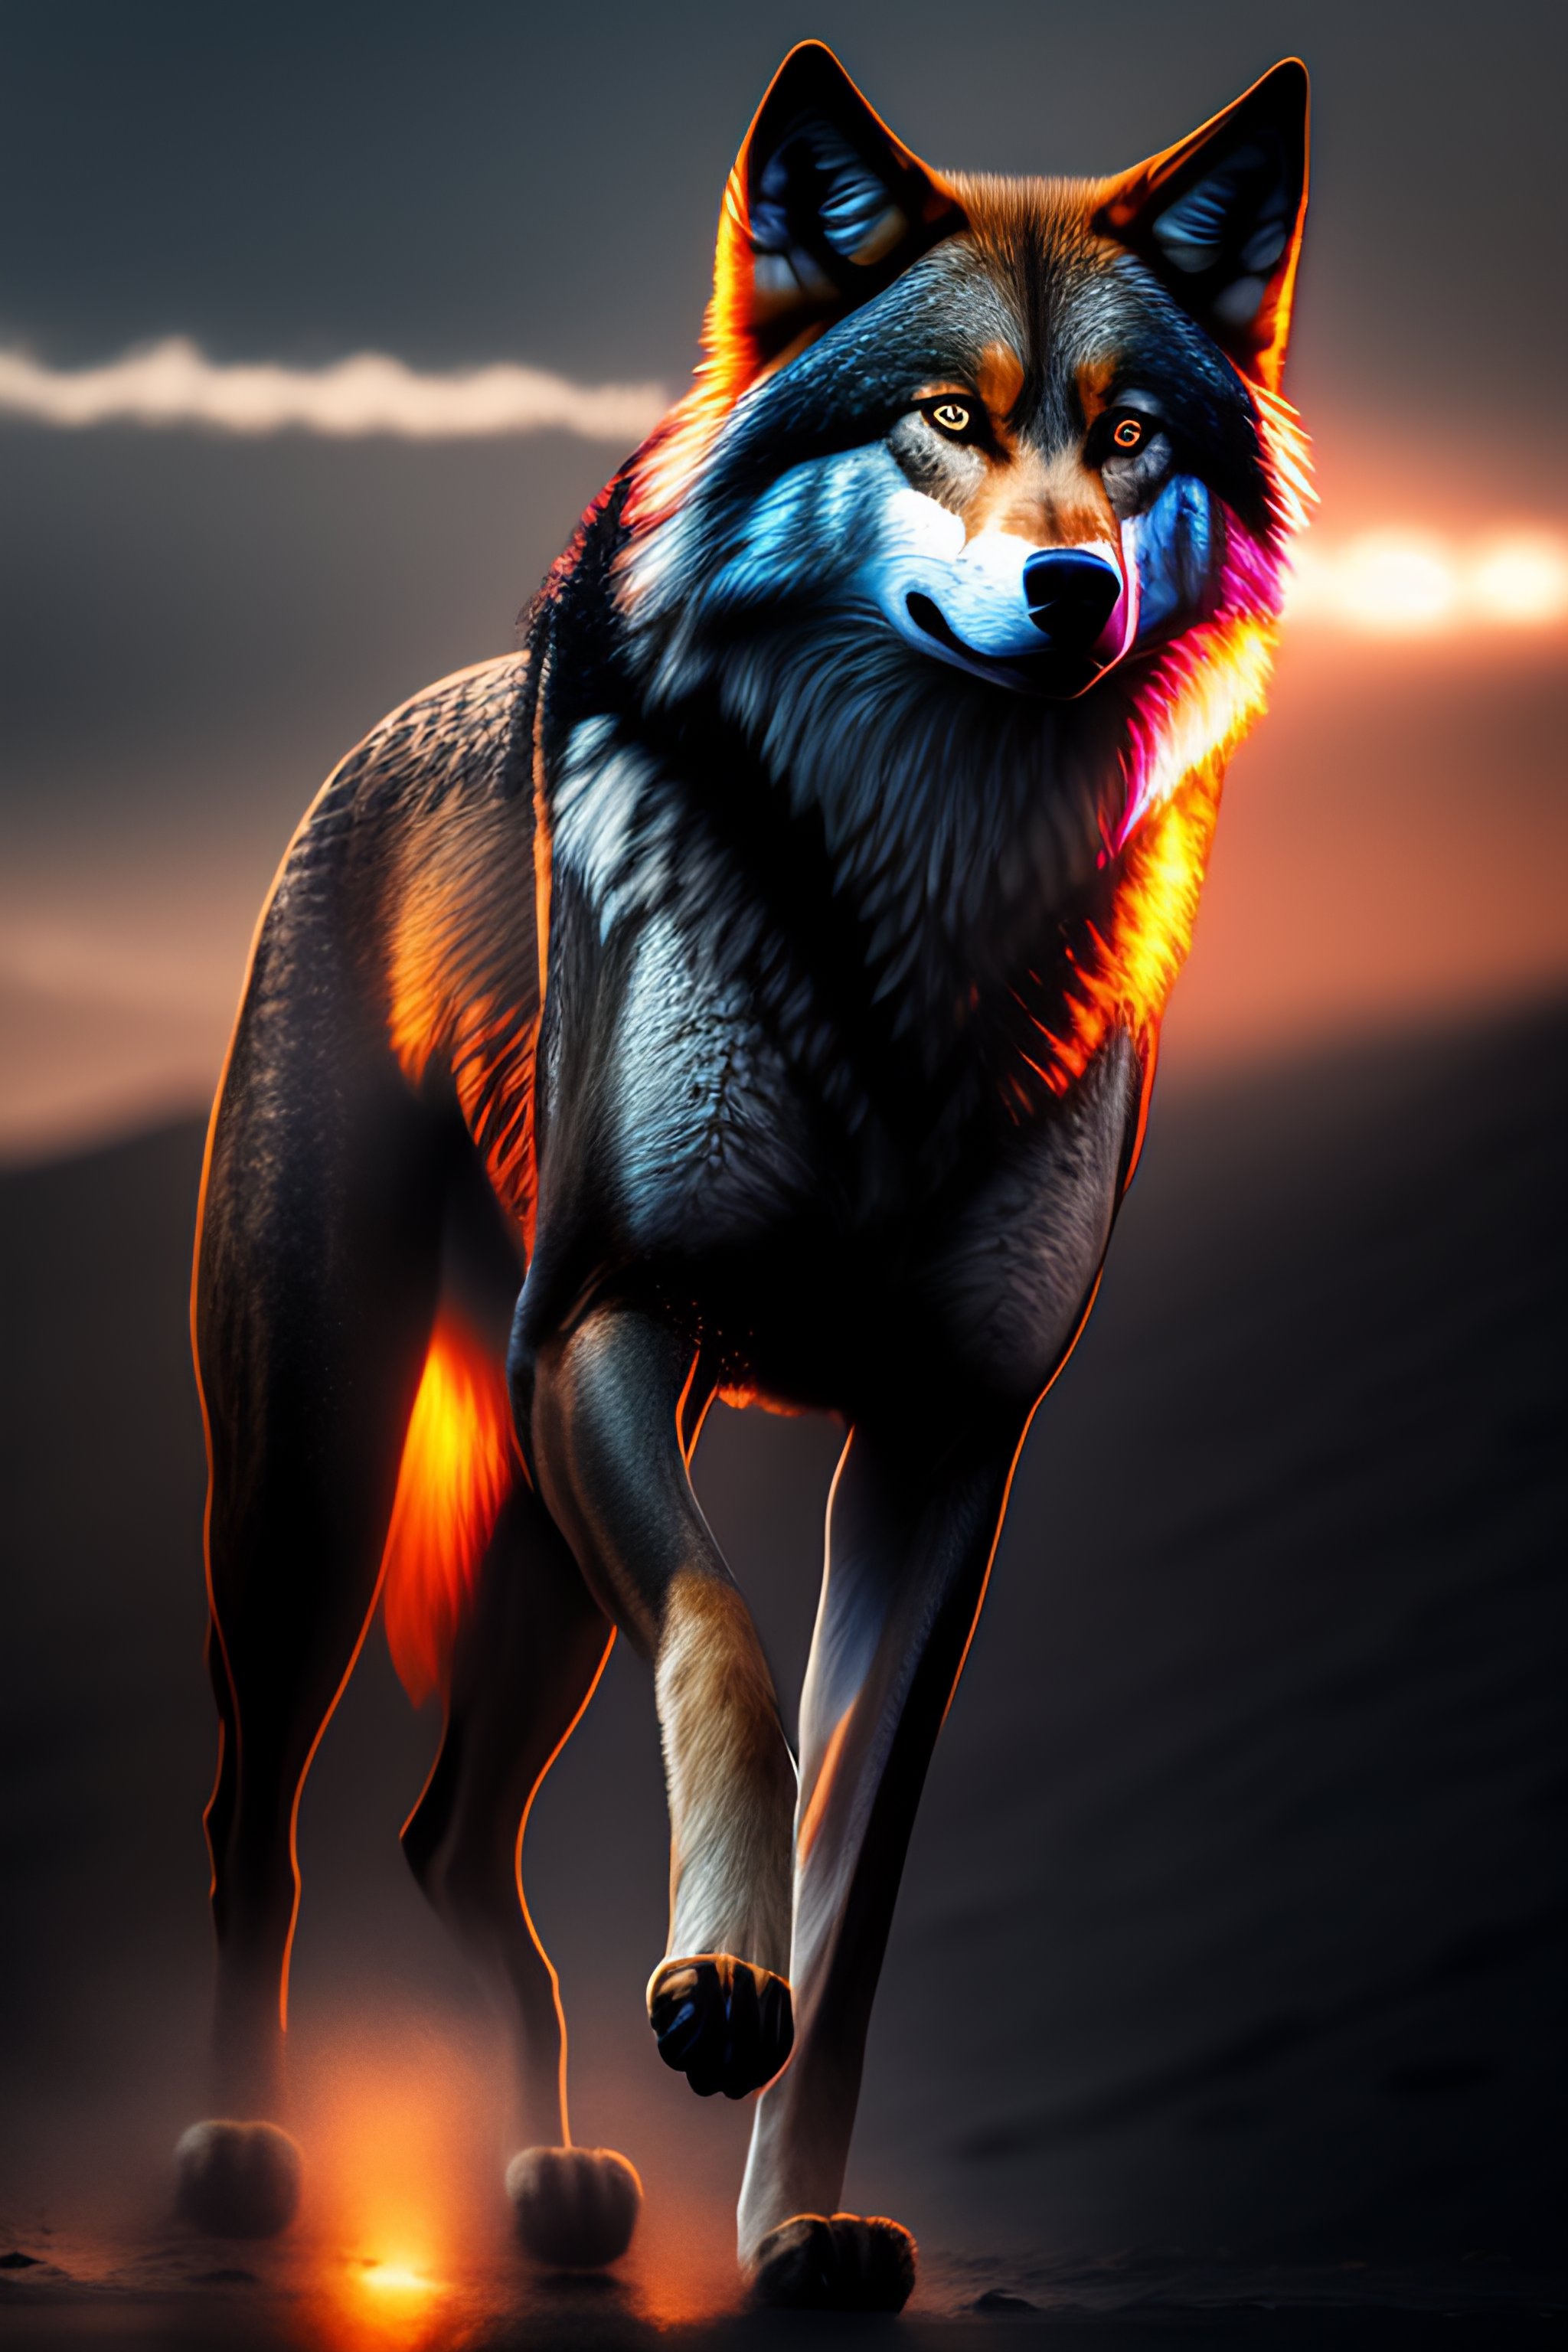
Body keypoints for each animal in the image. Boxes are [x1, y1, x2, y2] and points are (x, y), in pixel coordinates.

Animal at [174, 40, 1310, 2309]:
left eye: (1129, 436)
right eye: (946, 413)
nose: (1077, 590)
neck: (923, 925)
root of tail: (381, 733)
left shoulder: (951, 1440)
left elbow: (858, 1866)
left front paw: (792, 2221)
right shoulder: (618, 1319)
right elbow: (732, 1650)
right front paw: (716, 1978)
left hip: (535, 1524)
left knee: (445, 1838)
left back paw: (548, 2179)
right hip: (331, 1473)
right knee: (262, 1814)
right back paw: (248, 2148)